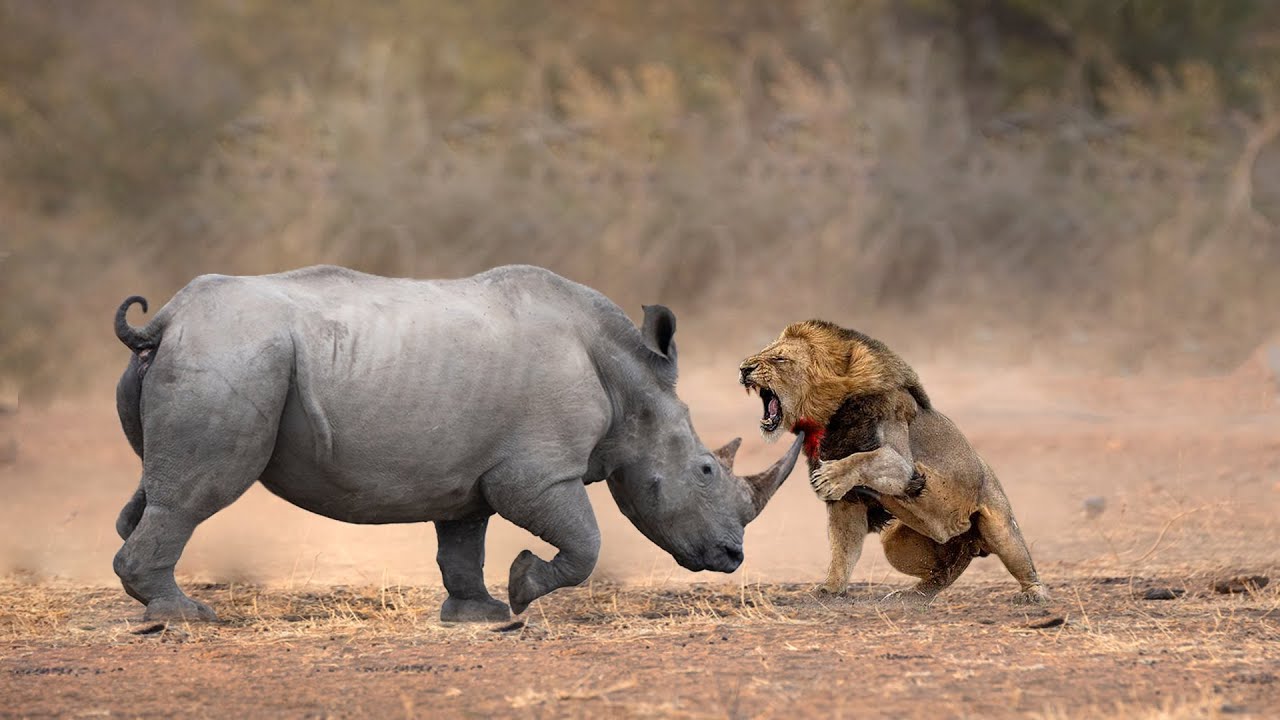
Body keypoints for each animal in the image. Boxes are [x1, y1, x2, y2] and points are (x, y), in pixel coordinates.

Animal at [111, 265, 804, 623]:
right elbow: (586, 542)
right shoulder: (538, 473)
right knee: (193, 497)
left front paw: (480, 615)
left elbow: (462, 544)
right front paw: (522, 591)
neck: (632, 386)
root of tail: (166, 320)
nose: (732, 557)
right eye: (707, 469)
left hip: (211, 355)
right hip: (231, 353)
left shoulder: (469, 474)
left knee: (153, 488)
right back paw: (184, 617)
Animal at [739, 320, 1048, 604]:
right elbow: (843, 549)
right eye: (763, 352)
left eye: (779, 359)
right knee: (943, 572)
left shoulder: (904, 465)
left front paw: (831, 476)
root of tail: (968, 542)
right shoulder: (849, 502)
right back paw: (912, 595)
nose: (743, 368)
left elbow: (865, 458)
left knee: (1018, 559)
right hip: (895, 541)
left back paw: (1033, 594)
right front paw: (830, 589)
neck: (826, 421)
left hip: (1001, 527)